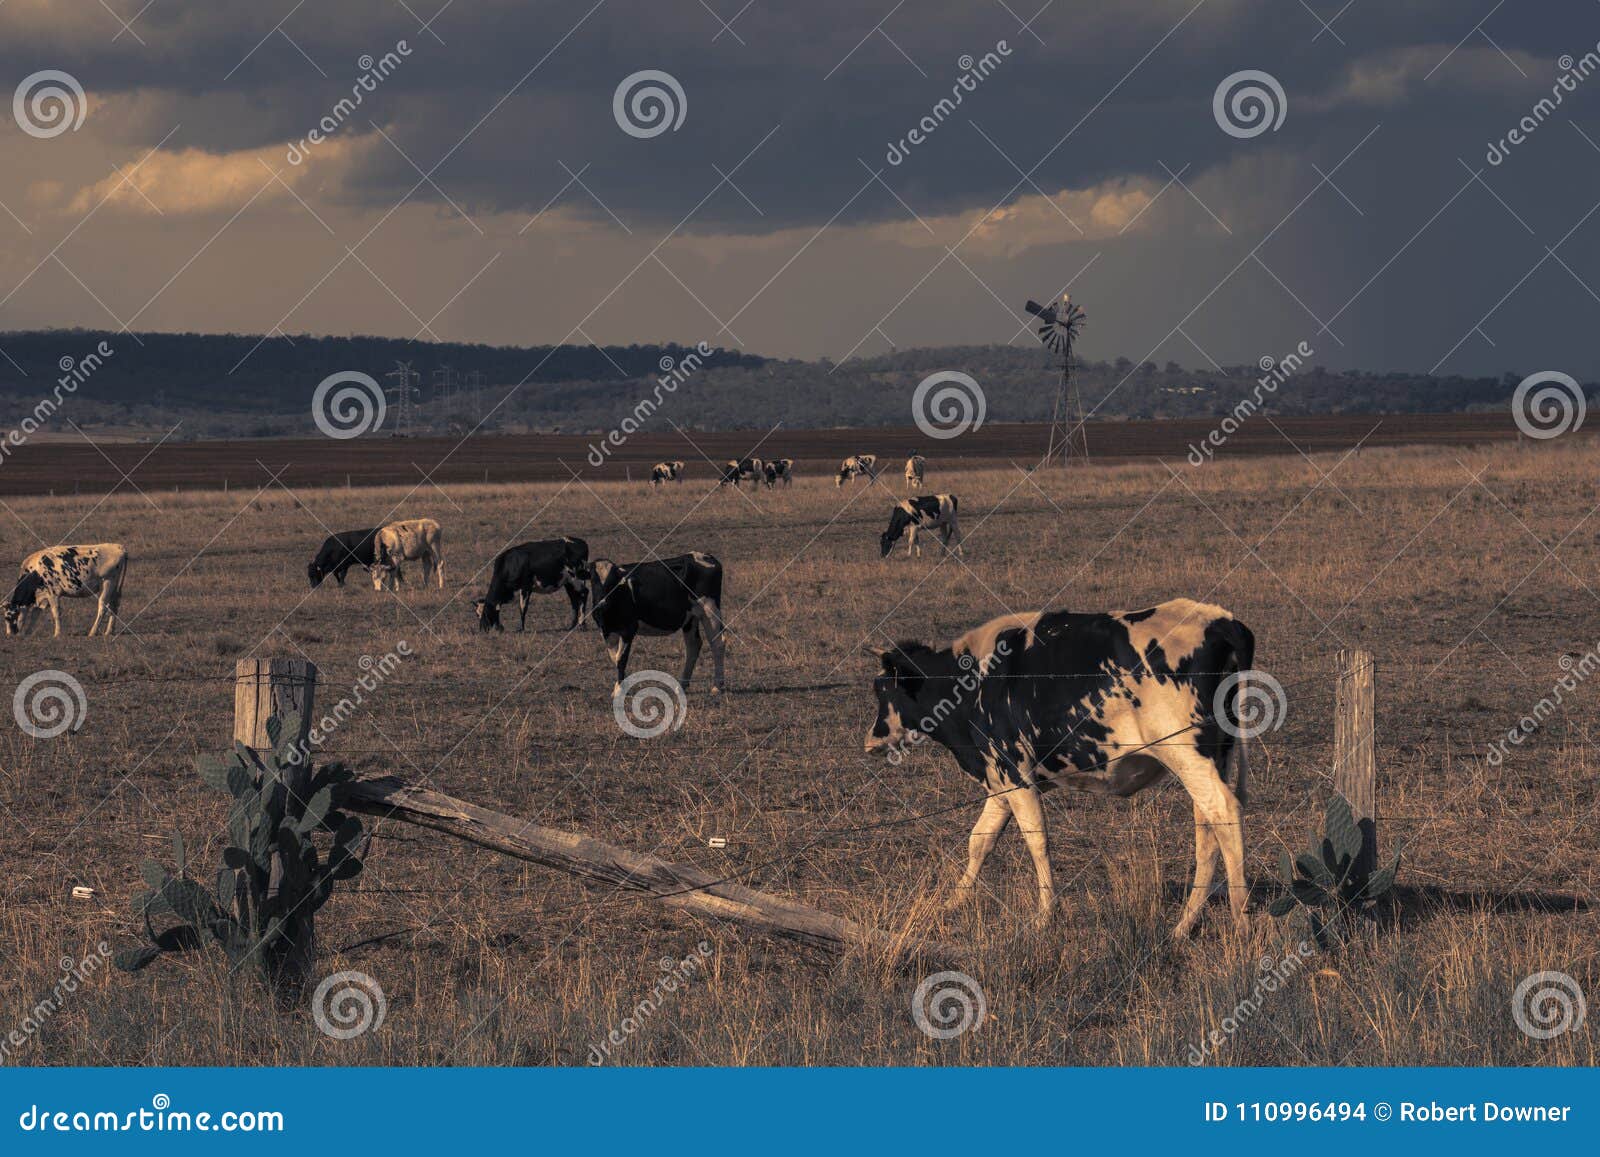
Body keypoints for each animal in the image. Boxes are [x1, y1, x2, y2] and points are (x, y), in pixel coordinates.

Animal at [586, 551, 726, 696]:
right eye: (593, 580)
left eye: (613, 582)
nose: (602, 603)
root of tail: (706, 556)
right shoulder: (606, 632)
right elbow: (614, 657)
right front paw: (618, 688)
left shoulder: (628, 630)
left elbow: (621, 659)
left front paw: (619, 690)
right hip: (691, 617)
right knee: (693, 645)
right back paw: (682, 685)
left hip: (710, 610)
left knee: (718, 643)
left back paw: (717, 686)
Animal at [863, 599, 1255, 938]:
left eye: (882, 690)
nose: (870, 740)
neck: (973, 682)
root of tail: (1220, 620)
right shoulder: (1000, 780)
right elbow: (980, 840)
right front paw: (954, 900)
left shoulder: (1015, 773)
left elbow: (1036, 840)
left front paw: (1045, 914)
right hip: (1213, 758)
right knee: (1208, 829)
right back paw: (1186, 924)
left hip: (1188, 756)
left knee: (1223, 812)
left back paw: (1239, 918)